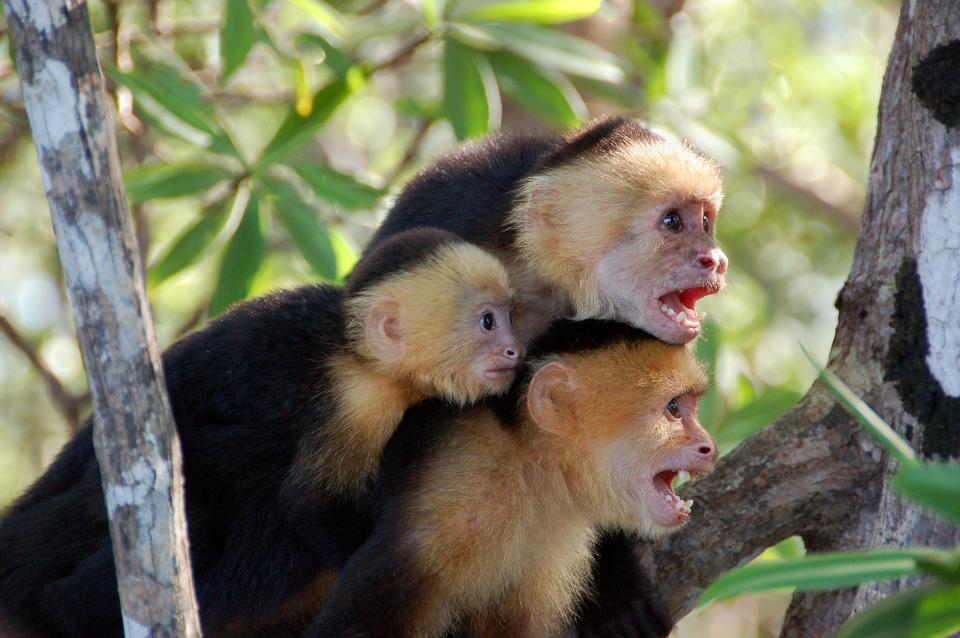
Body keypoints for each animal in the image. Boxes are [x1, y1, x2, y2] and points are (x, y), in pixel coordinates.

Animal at [0, 228, 524, 638]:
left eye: (509, 317)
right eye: (487, 321)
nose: (515, 350)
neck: (362, 355)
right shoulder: (355, 400)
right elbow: (309, 502)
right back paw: (62, 609)